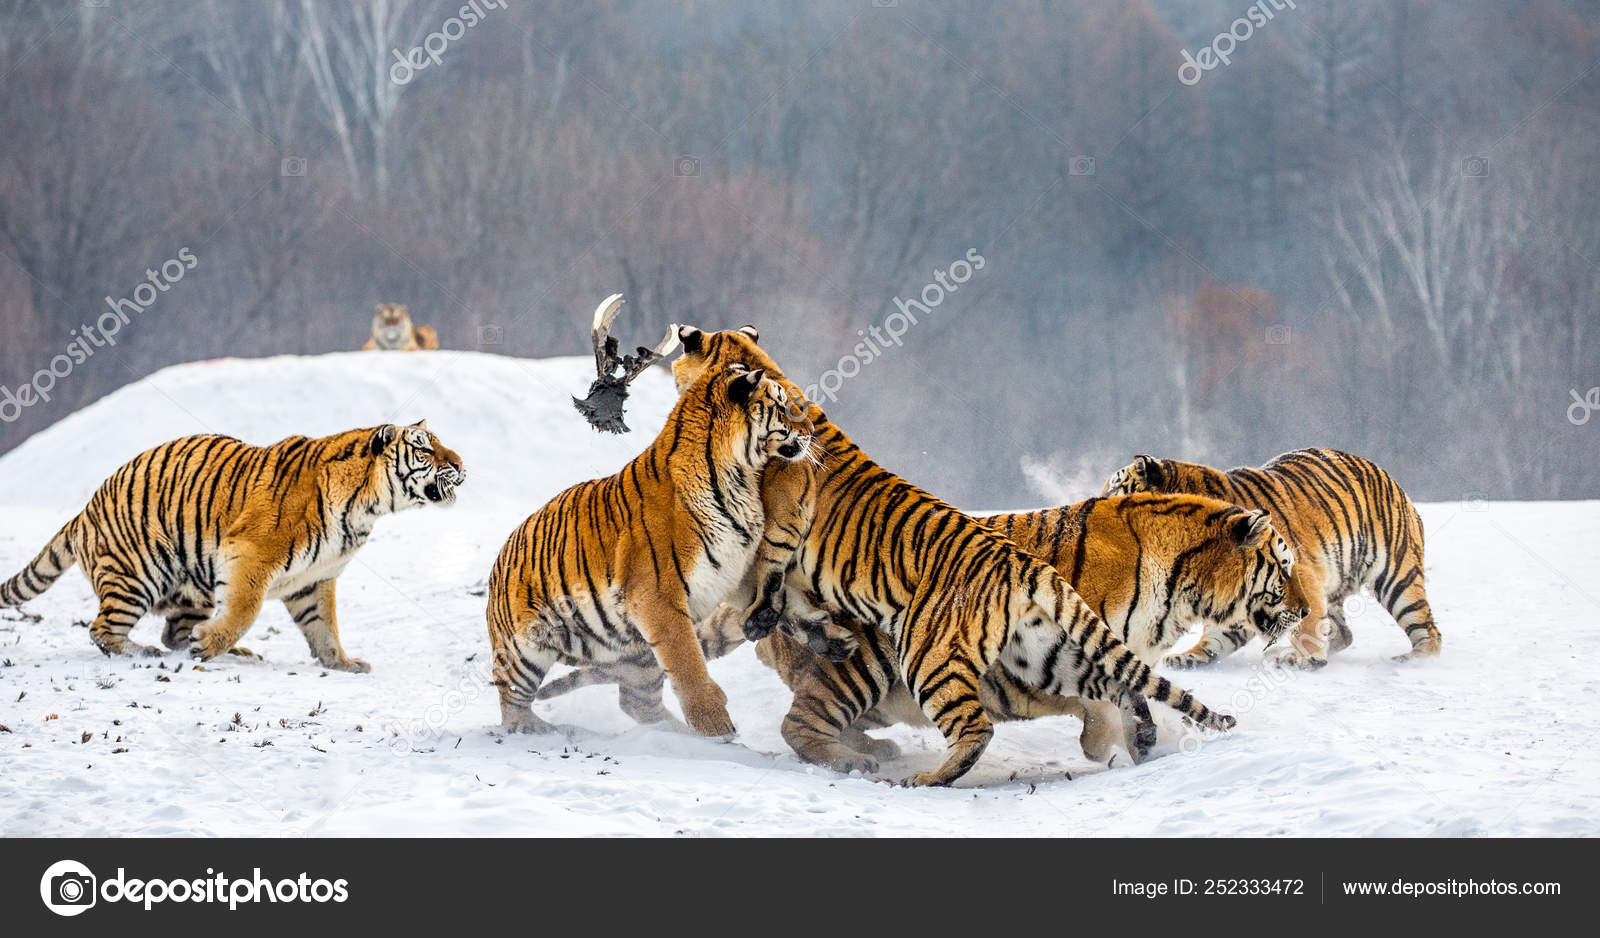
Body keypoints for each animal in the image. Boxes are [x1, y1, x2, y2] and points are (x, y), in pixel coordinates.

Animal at [0, 421, 465, 670]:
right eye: (424, 449)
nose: (460, 462)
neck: (367, 508)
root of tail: (84, 510)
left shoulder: (314, 578)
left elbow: (325, 627)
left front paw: (342, 663)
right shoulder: (250, 554)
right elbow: (245, 608)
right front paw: (211, 644)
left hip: (192, 586)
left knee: (173, 631)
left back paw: (228, 650)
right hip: (137, 574)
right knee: (103, 630)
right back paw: (145, 651)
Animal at [485, 363, 816, 738]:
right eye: (782, 406)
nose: (811, 430)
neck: (742, 477)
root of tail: (503, 552)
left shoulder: (734, 566)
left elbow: (771, 595)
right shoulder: (657, 598)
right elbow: (688, 663)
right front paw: (715, 724)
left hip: (635, 657)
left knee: (637, 702)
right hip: (525, 647)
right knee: (512, 699)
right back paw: (535, 728)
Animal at [541, 493, 1303, 773]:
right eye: (1285, 564)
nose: (1304, 608)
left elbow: (1130, 693)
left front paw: (1138, 740)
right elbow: (1106, 699)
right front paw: (1113, 746)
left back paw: (874, 747)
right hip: (868, 662)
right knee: (803, 722)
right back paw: (863, 758)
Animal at [665, 327, 1236, 786]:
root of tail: (1021, 562)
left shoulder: (780, 529)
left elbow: (769, 577)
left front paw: (766, 617)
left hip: (925, 655)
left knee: (963, 726)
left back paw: (914, 775)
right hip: (1042, 654)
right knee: (1114, 687)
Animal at [1103, 449, 1442, 669]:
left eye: (1115, 489)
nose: (1097, 507)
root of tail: (1392, 480)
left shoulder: (1299, 572)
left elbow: (1306, 621)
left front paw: (1304, 658)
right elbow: (1219, 634)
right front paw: (1191, 656)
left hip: (1398, 577)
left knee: (1428, 630)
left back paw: (1414, 659)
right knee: (1344, 633)